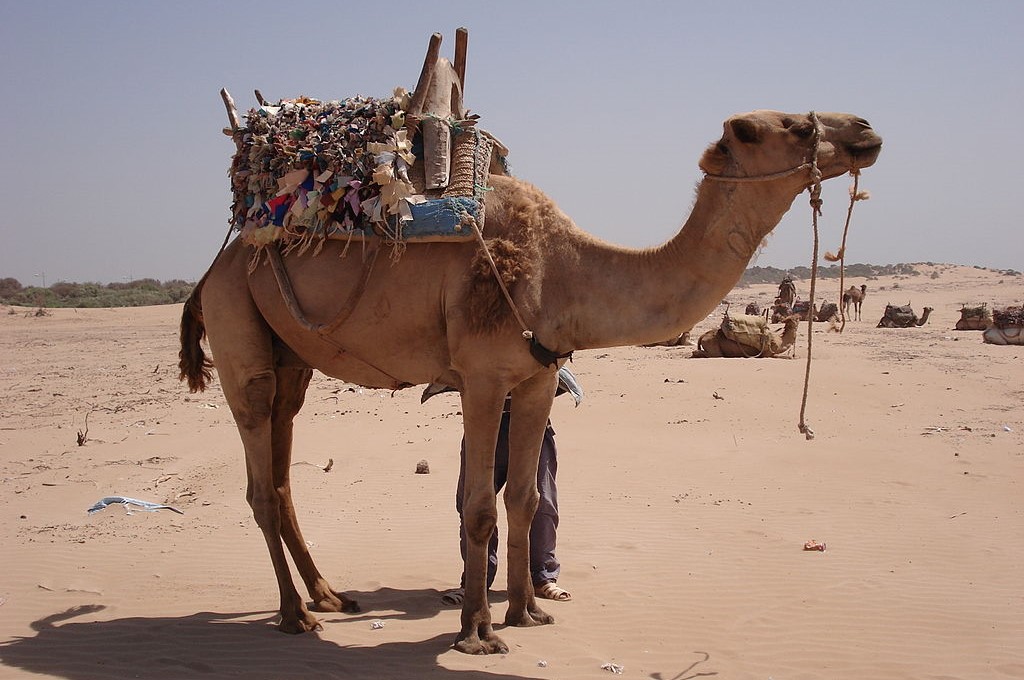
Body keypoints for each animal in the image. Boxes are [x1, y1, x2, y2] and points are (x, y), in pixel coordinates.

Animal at [178, 89, 881, 653]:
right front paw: (476, 634)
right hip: (241, 334)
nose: (867, 130)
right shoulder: (483, 377)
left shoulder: (539, 376)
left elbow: (524, 497)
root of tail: (209, 274)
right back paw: (296, 615)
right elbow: (477, 507)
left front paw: (525, 612)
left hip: (291, 361)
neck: (563, 270)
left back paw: (328, 595)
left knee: (283, 469)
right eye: (789, 126)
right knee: (260, 478)